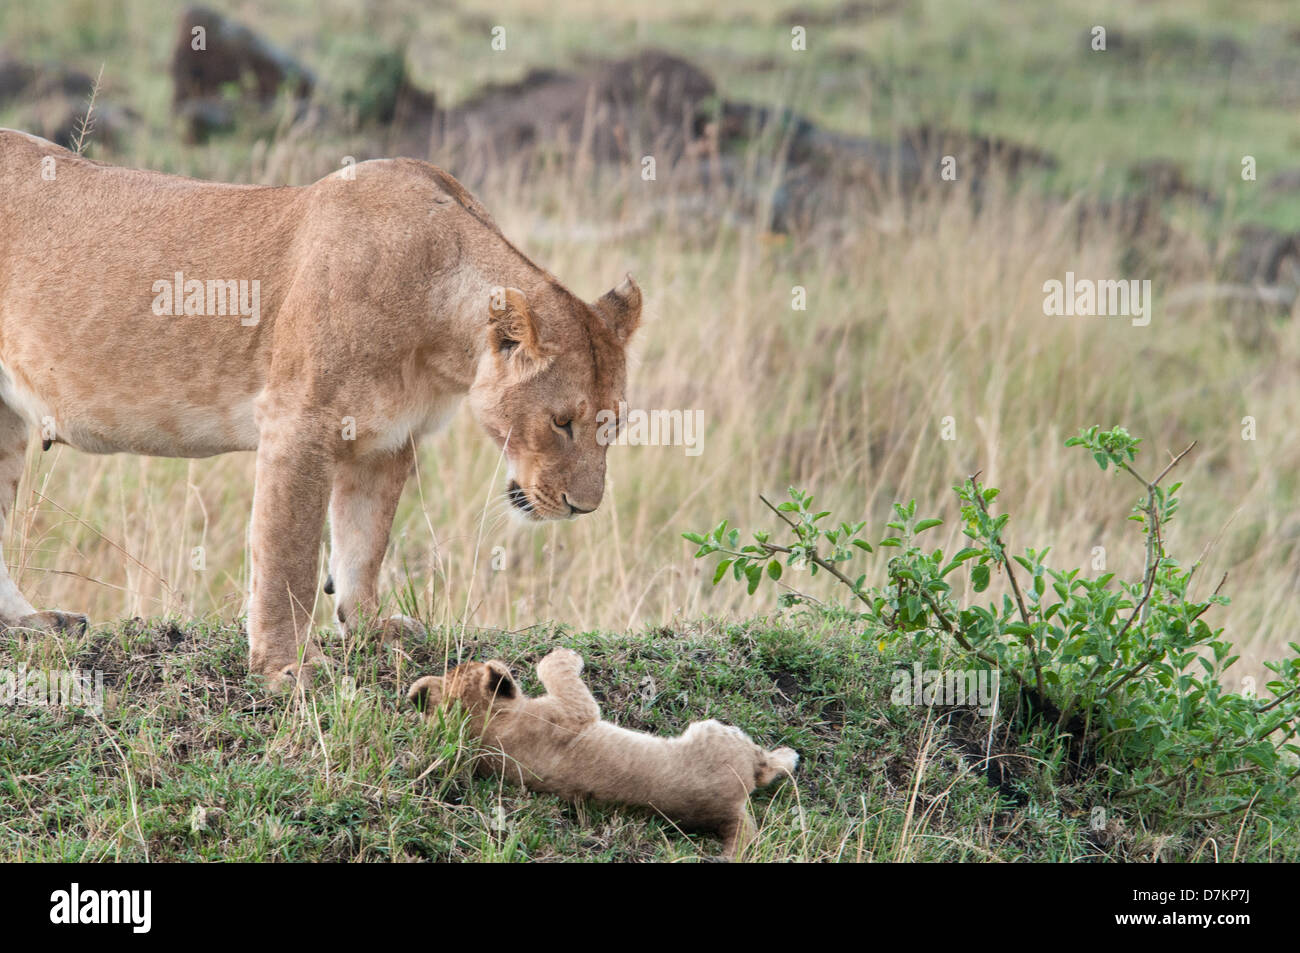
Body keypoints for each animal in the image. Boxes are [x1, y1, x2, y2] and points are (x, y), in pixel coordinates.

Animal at [0, 129, 640, 688]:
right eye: (562, 422)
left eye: (612, 424)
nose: (584, 508)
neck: (438, 332)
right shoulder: (297, 423)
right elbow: (289, 554)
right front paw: (286, 668)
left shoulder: (388, 441)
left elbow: (364, 541)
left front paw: (370, 627)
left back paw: (32, 625)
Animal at [407, 648, 799, 858]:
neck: (484, 724)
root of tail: (726, 813)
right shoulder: (576, 710)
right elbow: (554, 670)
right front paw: (564, 655)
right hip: (714, 731)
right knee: (764, 766)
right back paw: (788, 753)